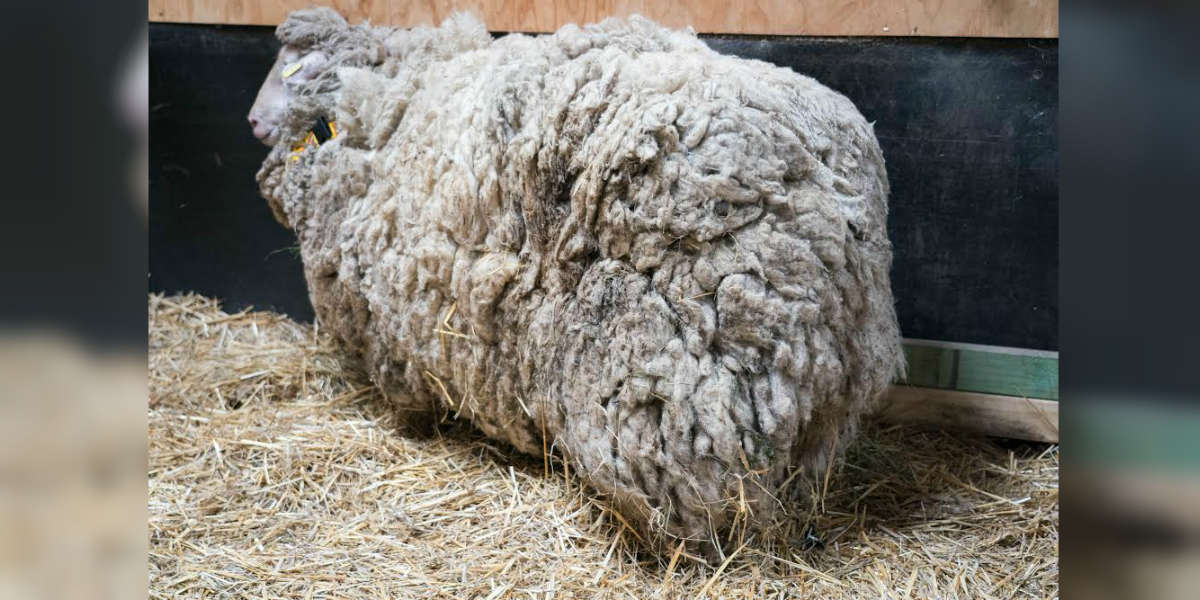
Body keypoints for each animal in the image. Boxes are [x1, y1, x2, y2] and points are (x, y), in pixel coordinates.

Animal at [249, 7, 904, 558]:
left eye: (295, 69)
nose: (254, 120)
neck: (393, 102)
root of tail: (822, 177)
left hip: (674, 367)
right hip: (824, 369)